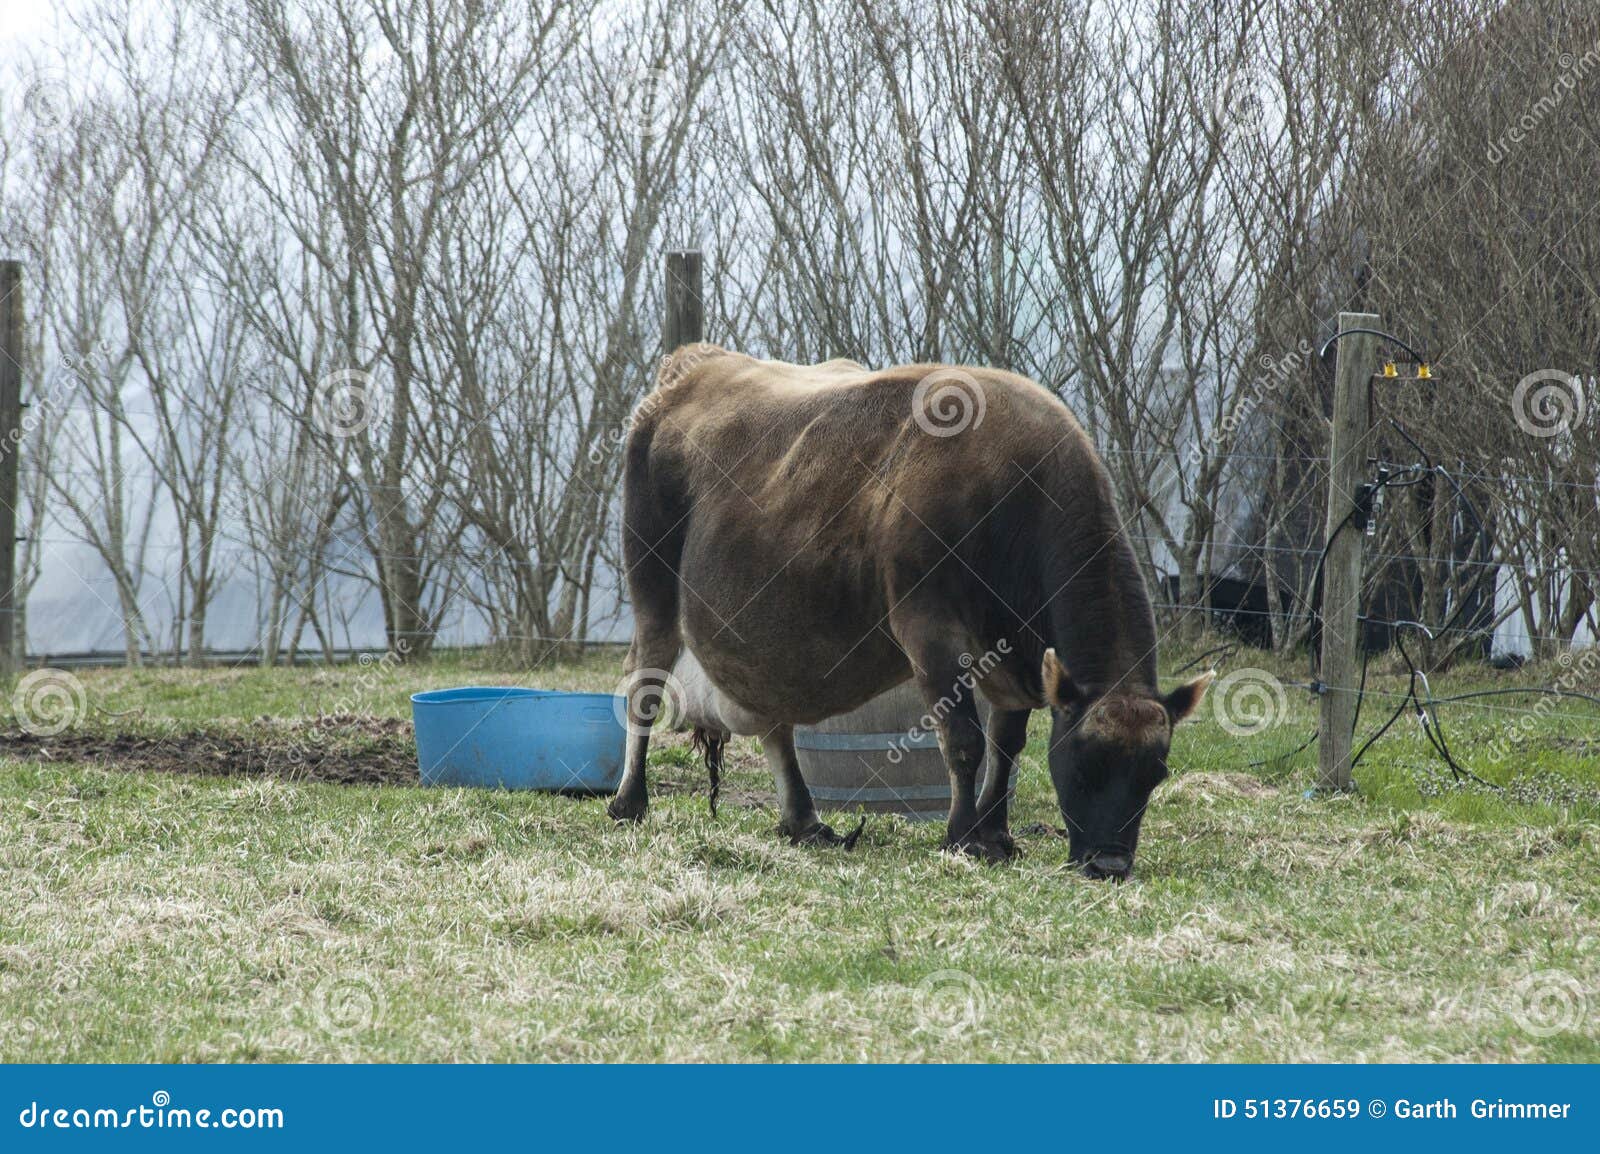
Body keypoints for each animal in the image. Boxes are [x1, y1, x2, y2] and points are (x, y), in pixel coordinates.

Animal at [607, 344, 1213, 880]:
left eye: (1155, 774)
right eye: (1084, 766)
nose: (1110, 865)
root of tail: (693, 364)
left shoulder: (1016, 654)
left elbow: (1007, 744)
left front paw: (997, 833)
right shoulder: (930, 628)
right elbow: (965, 740)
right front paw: (963, 837)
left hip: (761, 642)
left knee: (775, 717)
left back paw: (804, 821)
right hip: (653, 583)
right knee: (645, 683)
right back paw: (630, 802)